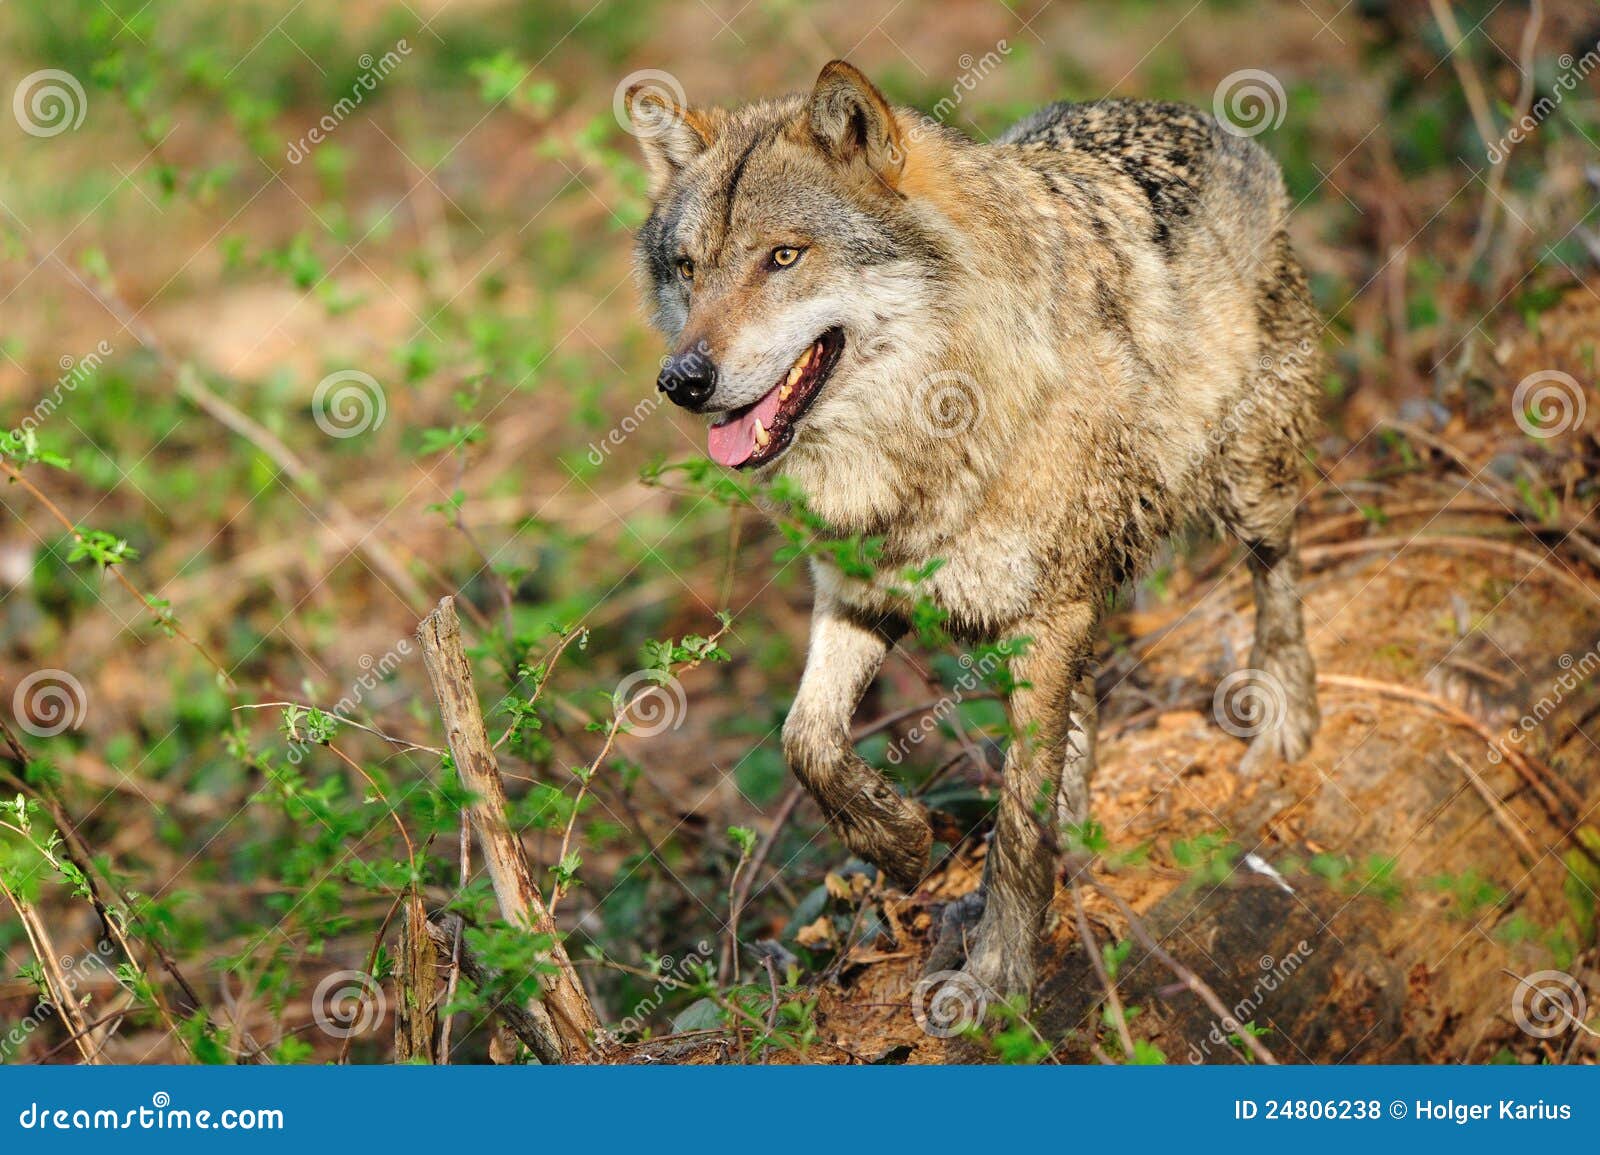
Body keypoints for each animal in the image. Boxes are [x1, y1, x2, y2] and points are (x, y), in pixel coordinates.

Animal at [626, 60, 1321, 1001]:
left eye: (783, 256)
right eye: (688, 269)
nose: (682, 380)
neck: (921, 433)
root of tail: (1202, 116)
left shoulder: (1048, 615)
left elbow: (1019, 827)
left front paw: (996, 976)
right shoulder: (857, 595)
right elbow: (807, 740)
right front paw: (901, 842)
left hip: (1244, 485)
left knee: (1277, 576)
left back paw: (1284, 714)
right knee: (1080, 716)